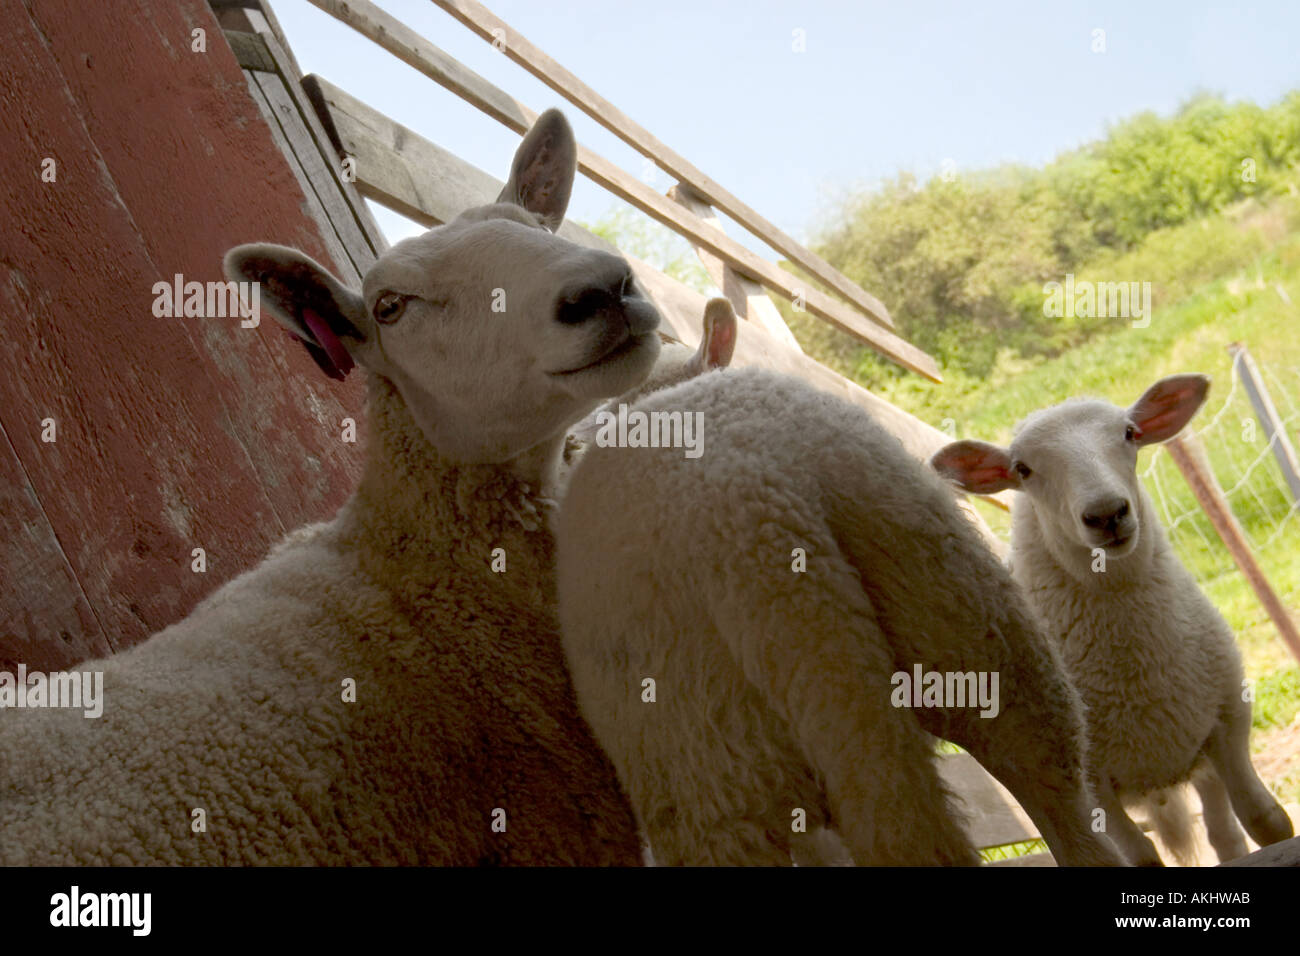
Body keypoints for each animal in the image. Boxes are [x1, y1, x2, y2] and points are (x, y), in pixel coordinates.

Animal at [931, 374, 1295, 865]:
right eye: (1023, 469)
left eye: (1129, 433)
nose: (1107, 513)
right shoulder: (1088, 781)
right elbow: (1141, 856)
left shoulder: (1227, 721)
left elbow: (1266, 820)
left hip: (1197, 753)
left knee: (1225, 833)